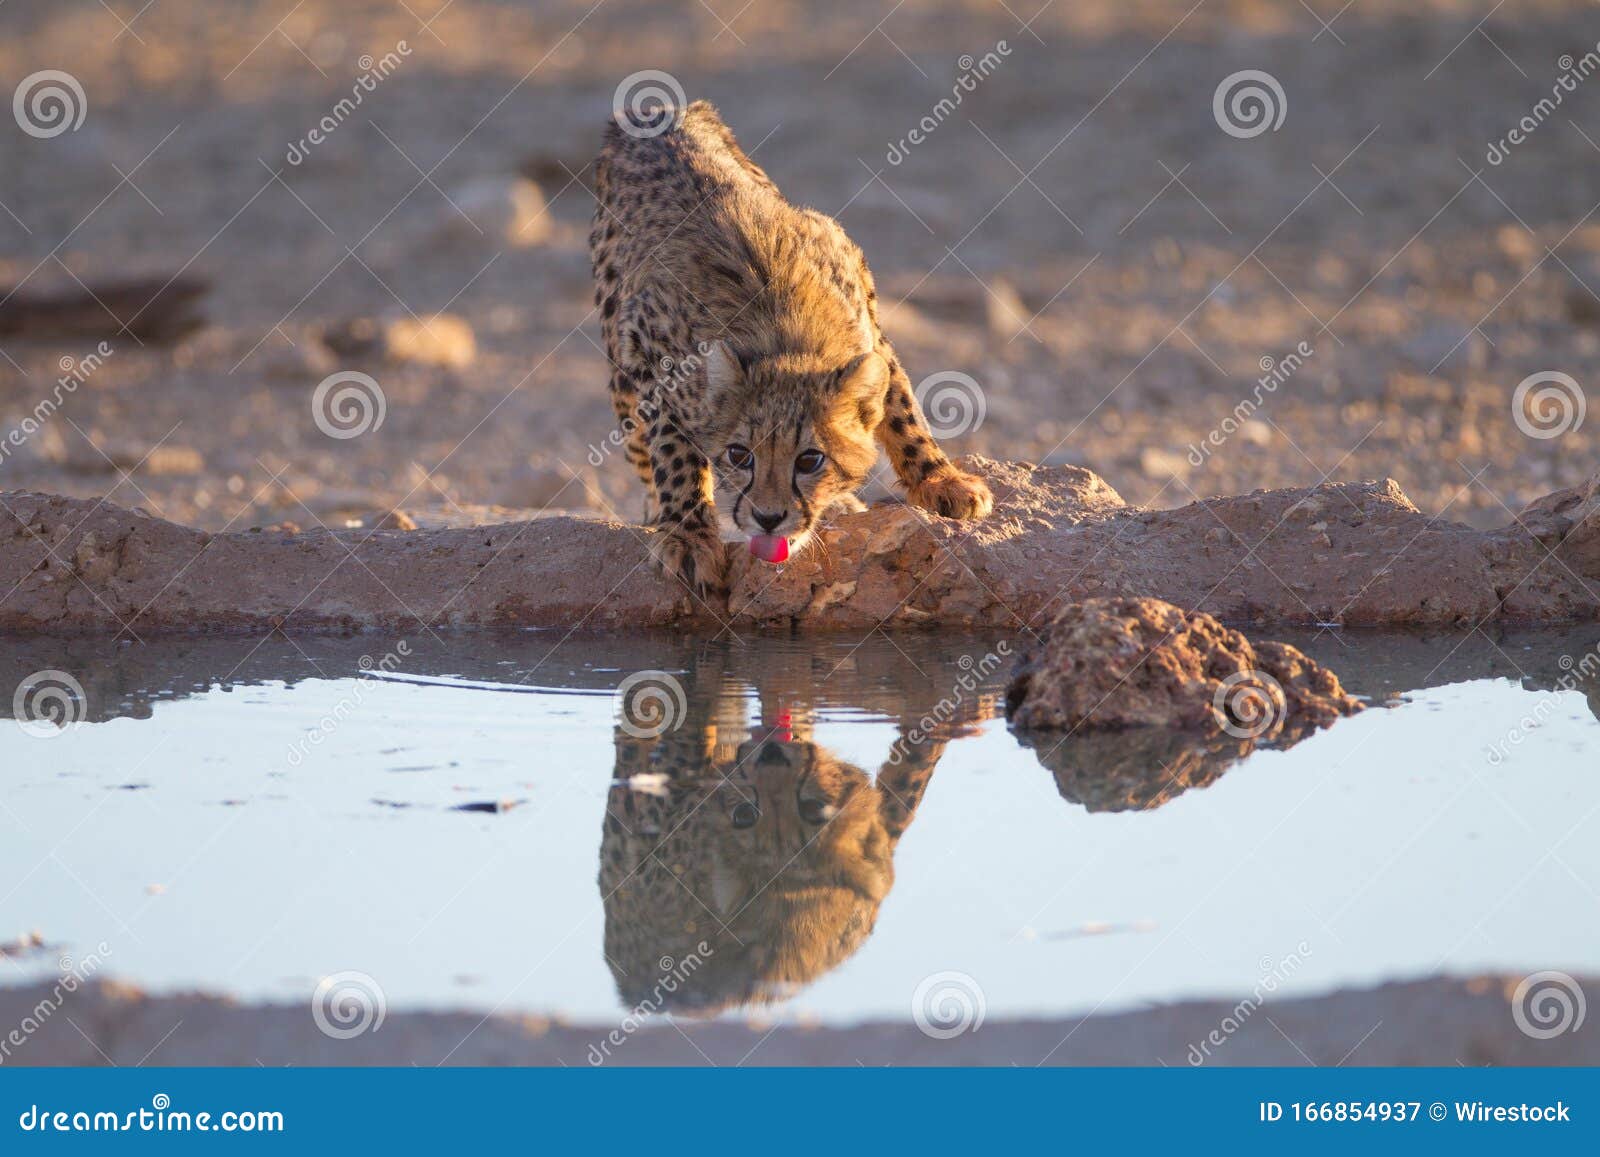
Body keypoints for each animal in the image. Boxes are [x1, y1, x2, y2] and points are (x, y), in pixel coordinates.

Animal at [589, 99, 993, 594]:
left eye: (810, 459)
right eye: (739, 455)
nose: (767, 518)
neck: (785, 333)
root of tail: (658, 109)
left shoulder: (868, 321)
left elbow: (902, 410)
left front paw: (943, 481)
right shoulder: (648, 344)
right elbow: (673, 448)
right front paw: (687, 535)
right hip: (621, 375)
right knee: (642, 452)